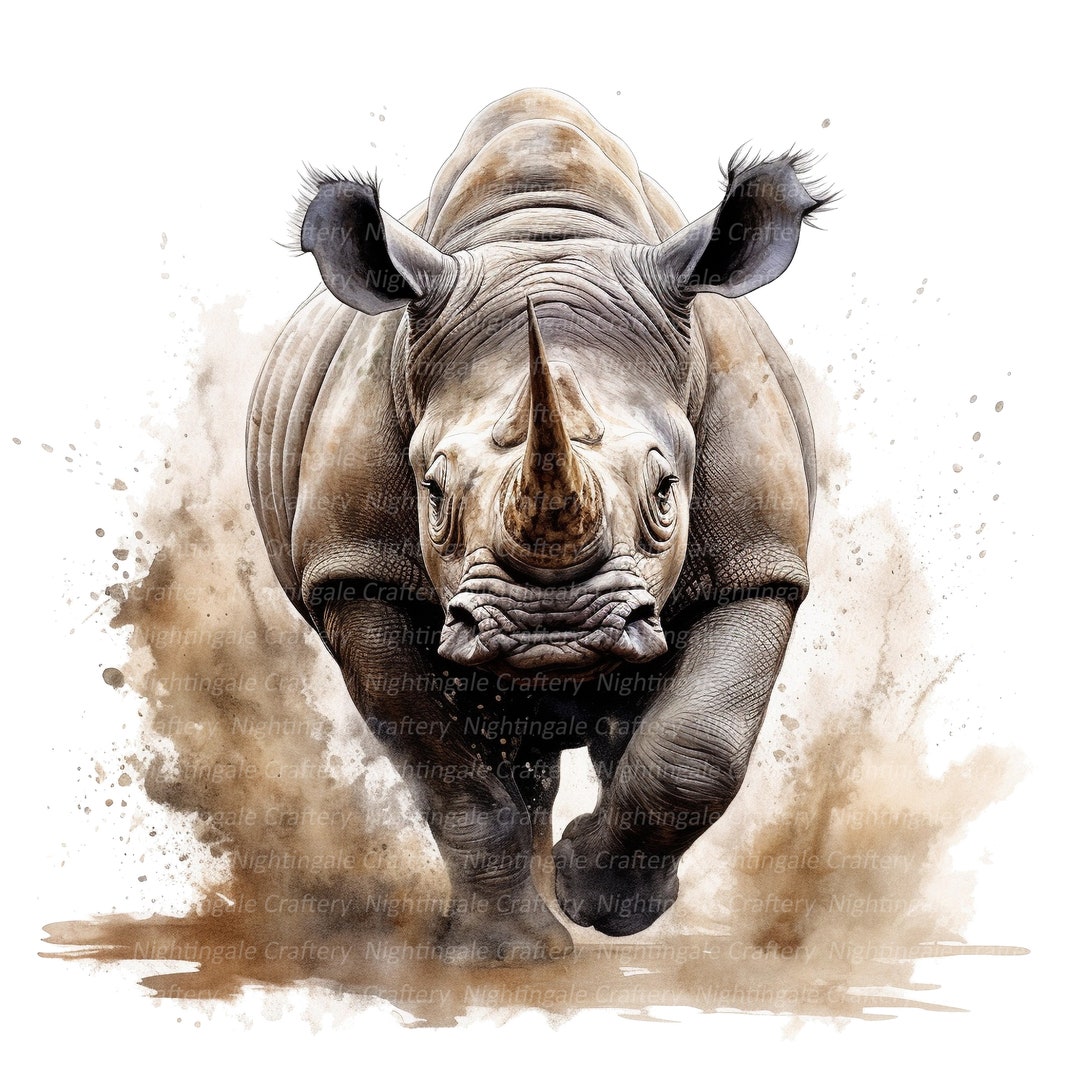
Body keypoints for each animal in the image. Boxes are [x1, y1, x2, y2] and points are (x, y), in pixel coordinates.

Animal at [248, 89, 830, 962]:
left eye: (667, 490)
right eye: (432, 492)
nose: (549, 634)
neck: (544, 238)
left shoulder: (759, 563)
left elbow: (702, 748)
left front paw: (602, 900)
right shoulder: (356, 573)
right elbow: (450, 777)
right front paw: (506, 956)